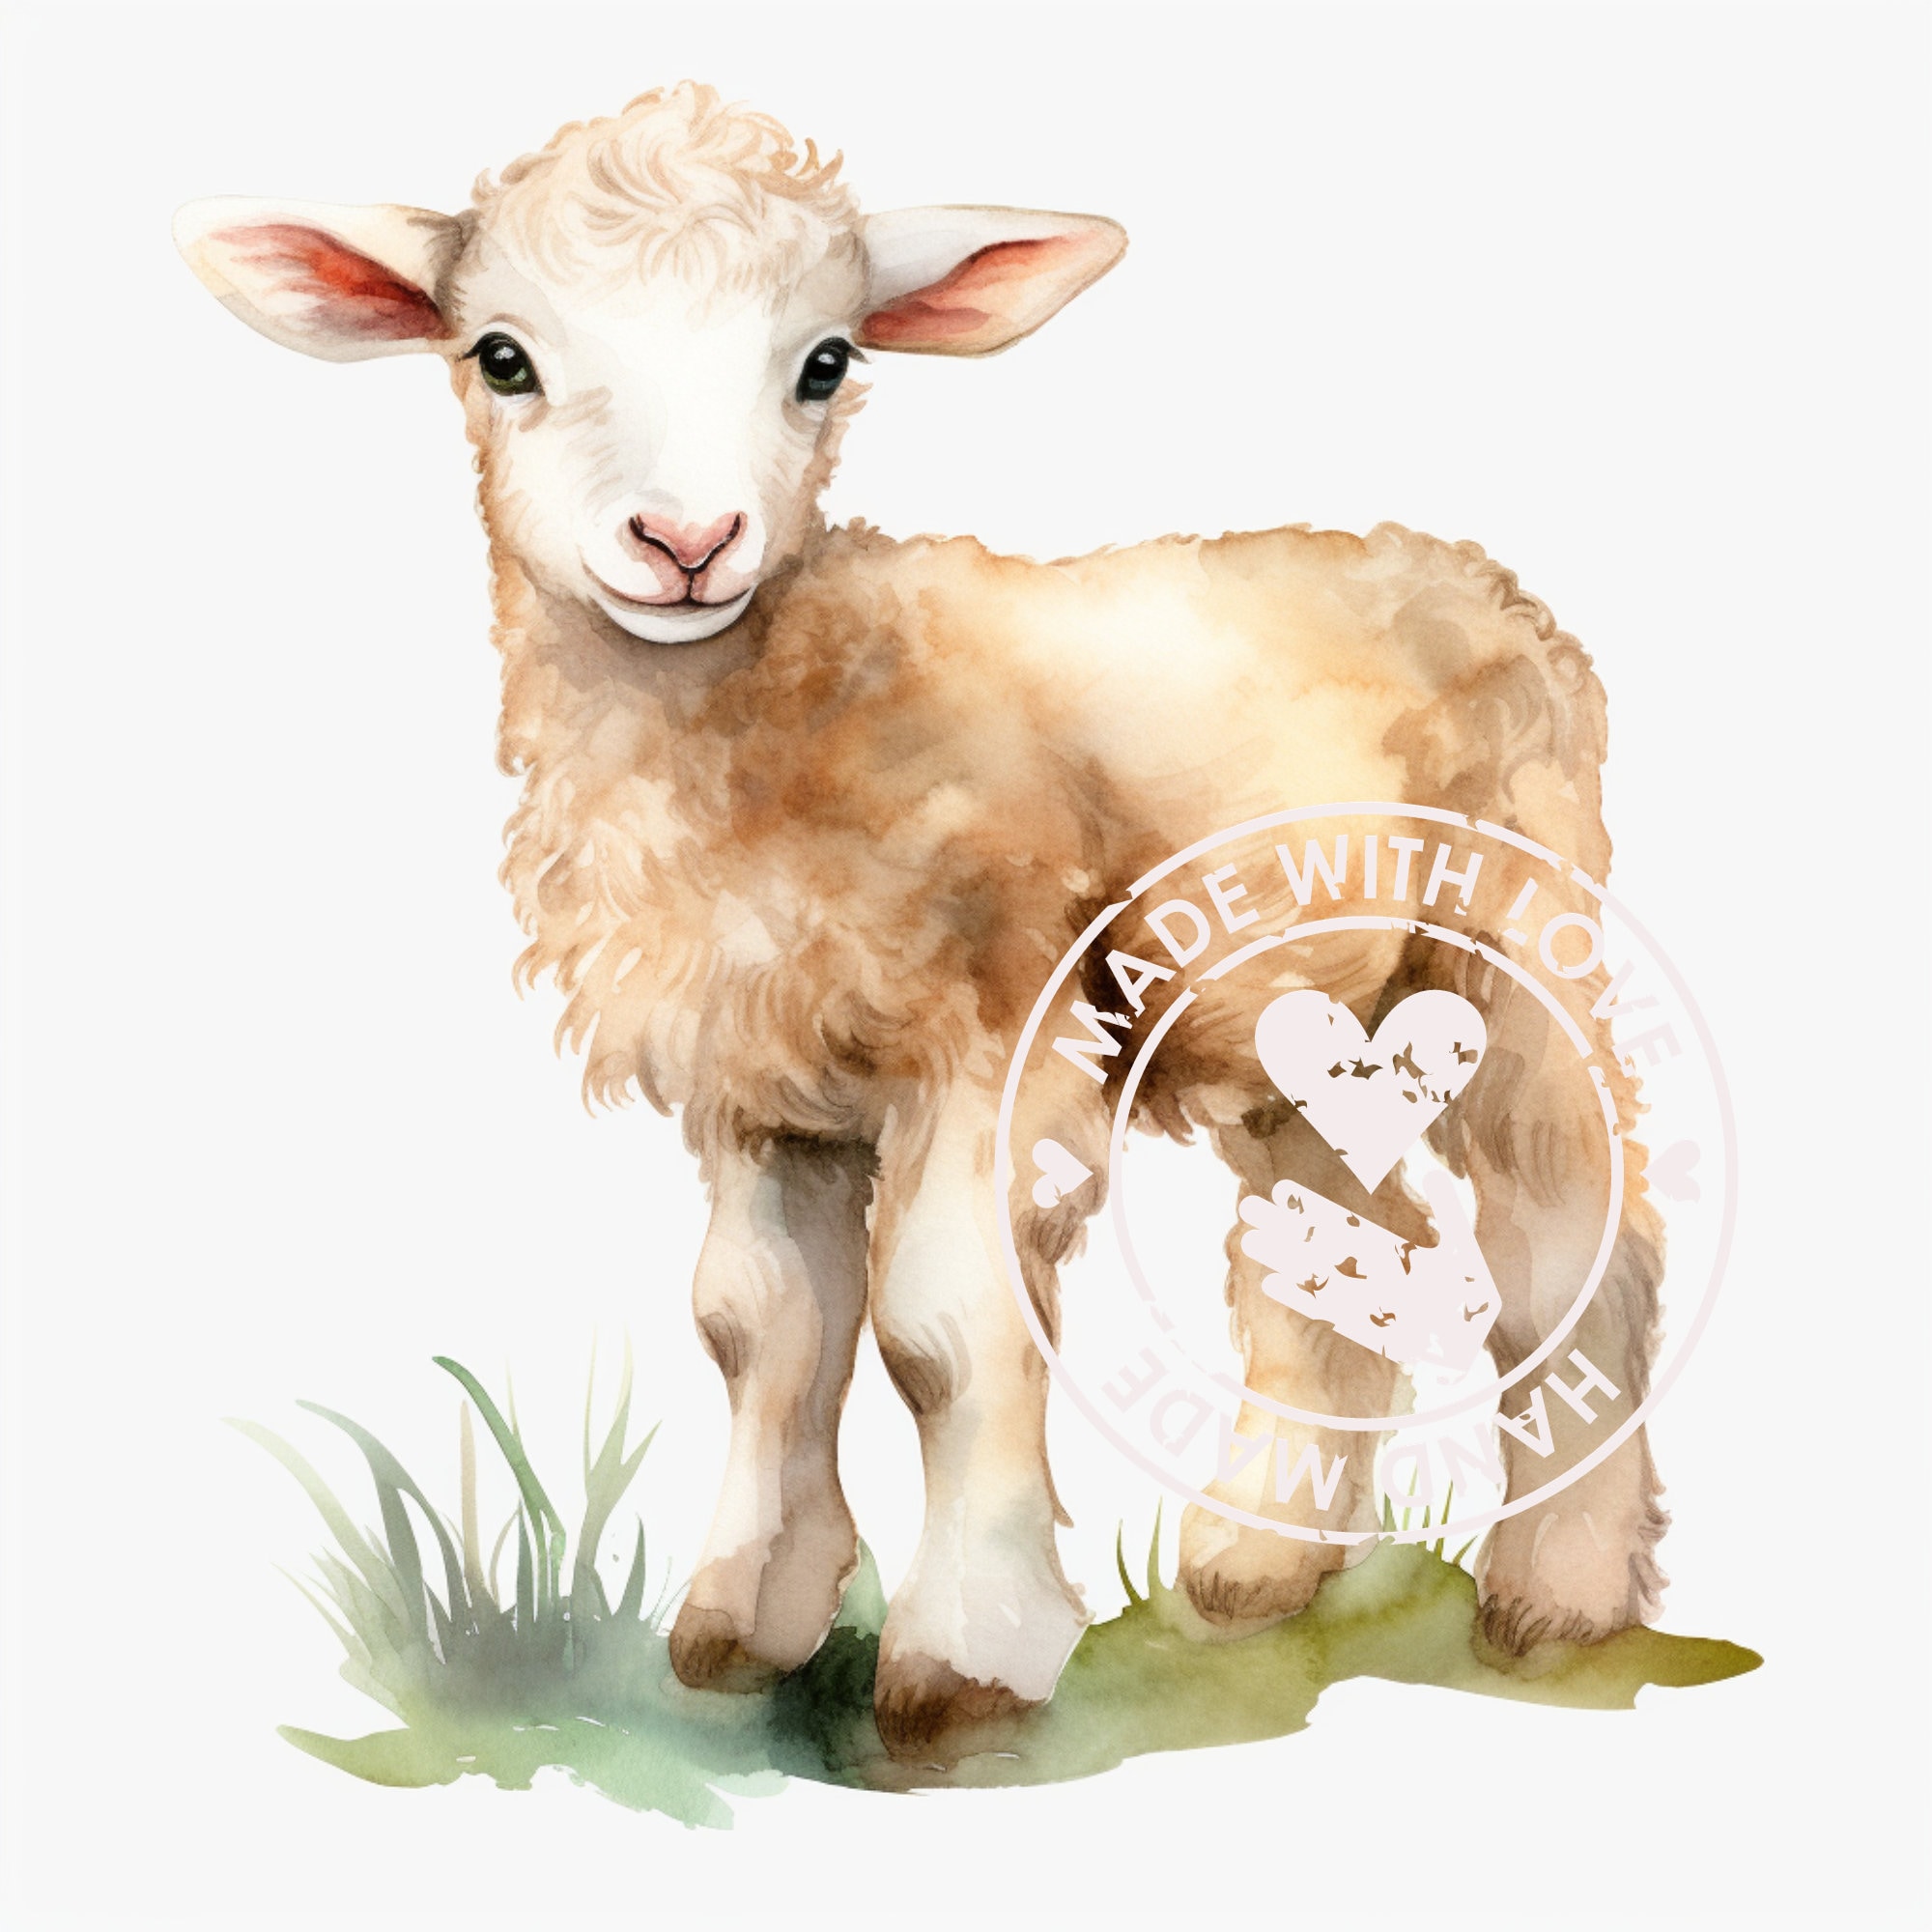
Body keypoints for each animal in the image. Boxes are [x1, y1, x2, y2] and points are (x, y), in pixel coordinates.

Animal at [175, 81, 1667, 1760]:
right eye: (503, 356)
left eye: (825, 361)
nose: (686, 543)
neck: (786, 708)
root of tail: (1468, 570)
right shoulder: (759, 1078)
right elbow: (760, 1331)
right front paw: (742, 1623)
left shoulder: (991, 1034)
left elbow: (937, 1337)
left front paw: (969, 1658)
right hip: (1296, 1022)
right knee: (1335, 1254)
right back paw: (1254, 1570)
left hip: (1517, 940)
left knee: (1573, 1244)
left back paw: (1559, 1597)